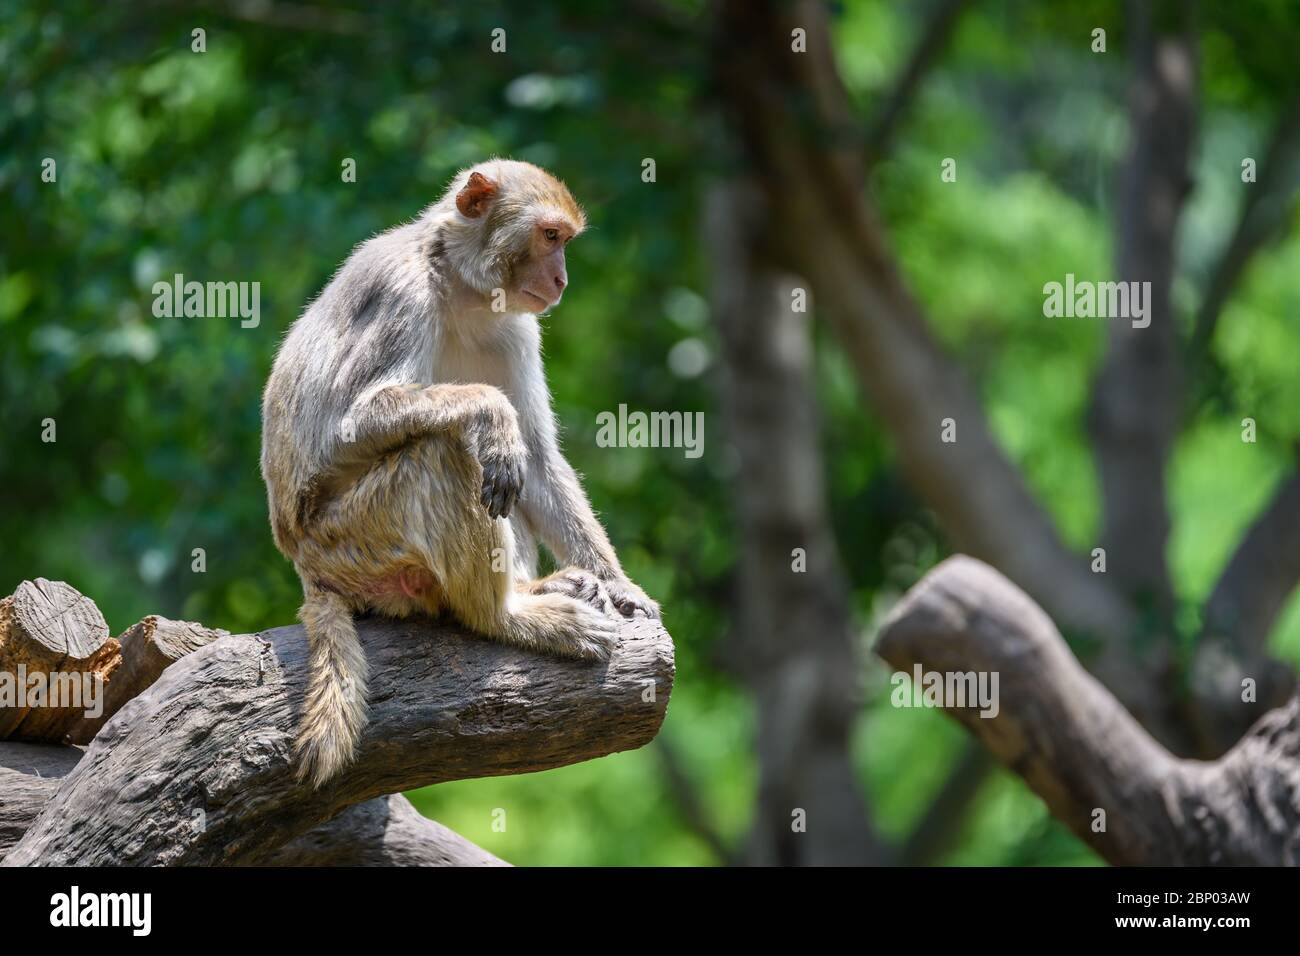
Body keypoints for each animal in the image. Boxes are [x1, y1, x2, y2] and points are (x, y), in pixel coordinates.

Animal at [260, 159, 660, 788]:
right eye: (550, 236)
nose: (561, 280)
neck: (461, 287)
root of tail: (307, 568)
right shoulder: (401, 293)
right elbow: (351, 424)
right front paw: (490, 411)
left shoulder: (518, 327)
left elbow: (536, 460)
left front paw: (620, 585)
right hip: (350, 543)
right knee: (444, 453)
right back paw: (506, 616)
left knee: (498, 471)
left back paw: (533, 588)